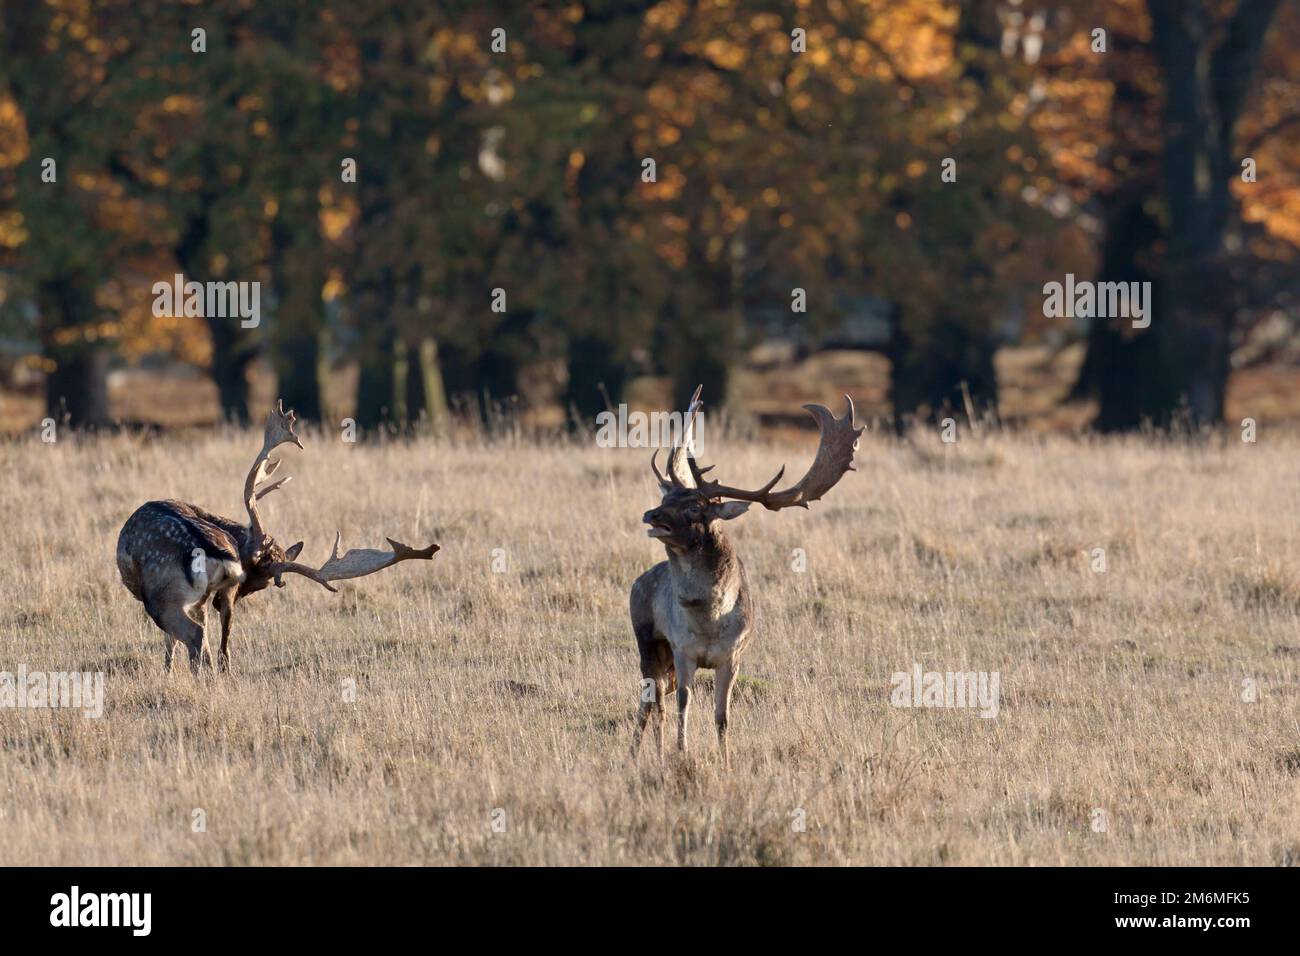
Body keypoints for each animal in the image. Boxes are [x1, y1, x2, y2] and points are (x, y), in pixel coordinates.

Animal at [116, 401, 438, 674]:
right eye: (261, 581)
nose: (236, 590)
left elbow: (170, 641)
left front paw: (167, 672)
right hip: (202, 599)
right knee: (218, 643)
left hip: (162, 596)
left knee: (193, 635)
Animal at [630, 386, 861, 768]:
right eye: (668, 496)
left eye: (694, 506)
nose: (651, 514)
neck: (710, 620)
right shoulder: (682, 649)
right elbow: (682, 705)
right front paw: (681, 753)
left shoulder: (733, 657)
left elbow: (722, 715)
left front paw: (724, 760)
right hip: (647, 641)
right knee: (652, 701)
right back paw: (642, 752)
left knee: (655, 699)